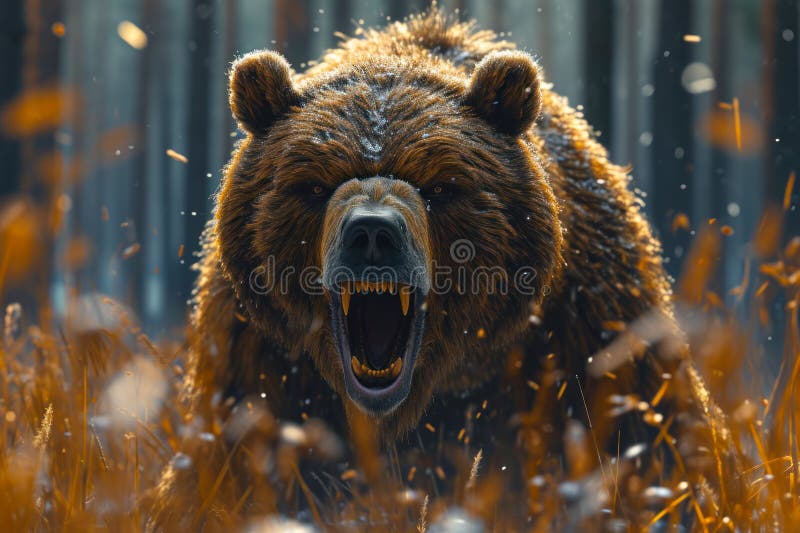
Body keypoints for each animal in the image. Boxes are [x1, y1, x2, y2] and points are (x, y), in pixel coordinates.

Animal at [150, 8, 738, 530]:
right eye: (314, 186)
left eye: (440, 187)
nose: (372, 234)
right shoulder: (260, 363)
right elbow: (229, 475)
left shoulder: (582, 336)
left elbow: (643, 444)